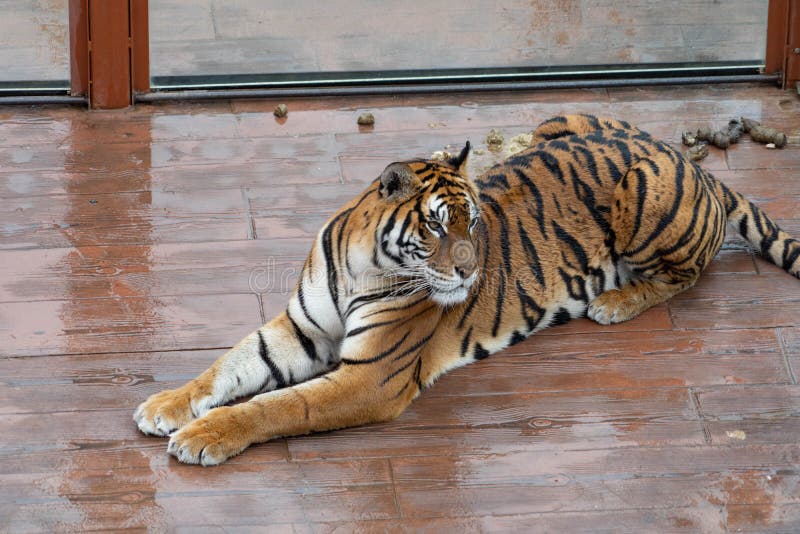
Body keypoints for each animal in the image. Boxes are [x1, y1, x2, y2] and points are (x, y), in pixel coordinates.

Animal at [134, 114, 800, 465]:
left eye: (474, 223)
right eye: (435, 225)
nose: (469, 273)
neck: (360, 264)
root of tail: (681, 155)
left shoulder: (370, 378)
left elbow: (277, 405)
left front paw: (203, 437)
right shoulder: (298, 330)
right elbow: (227, 366)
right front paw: (165, 406)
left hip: (644, 192)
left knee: (687, 274)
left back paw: (614, 301)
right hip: (561, 122)